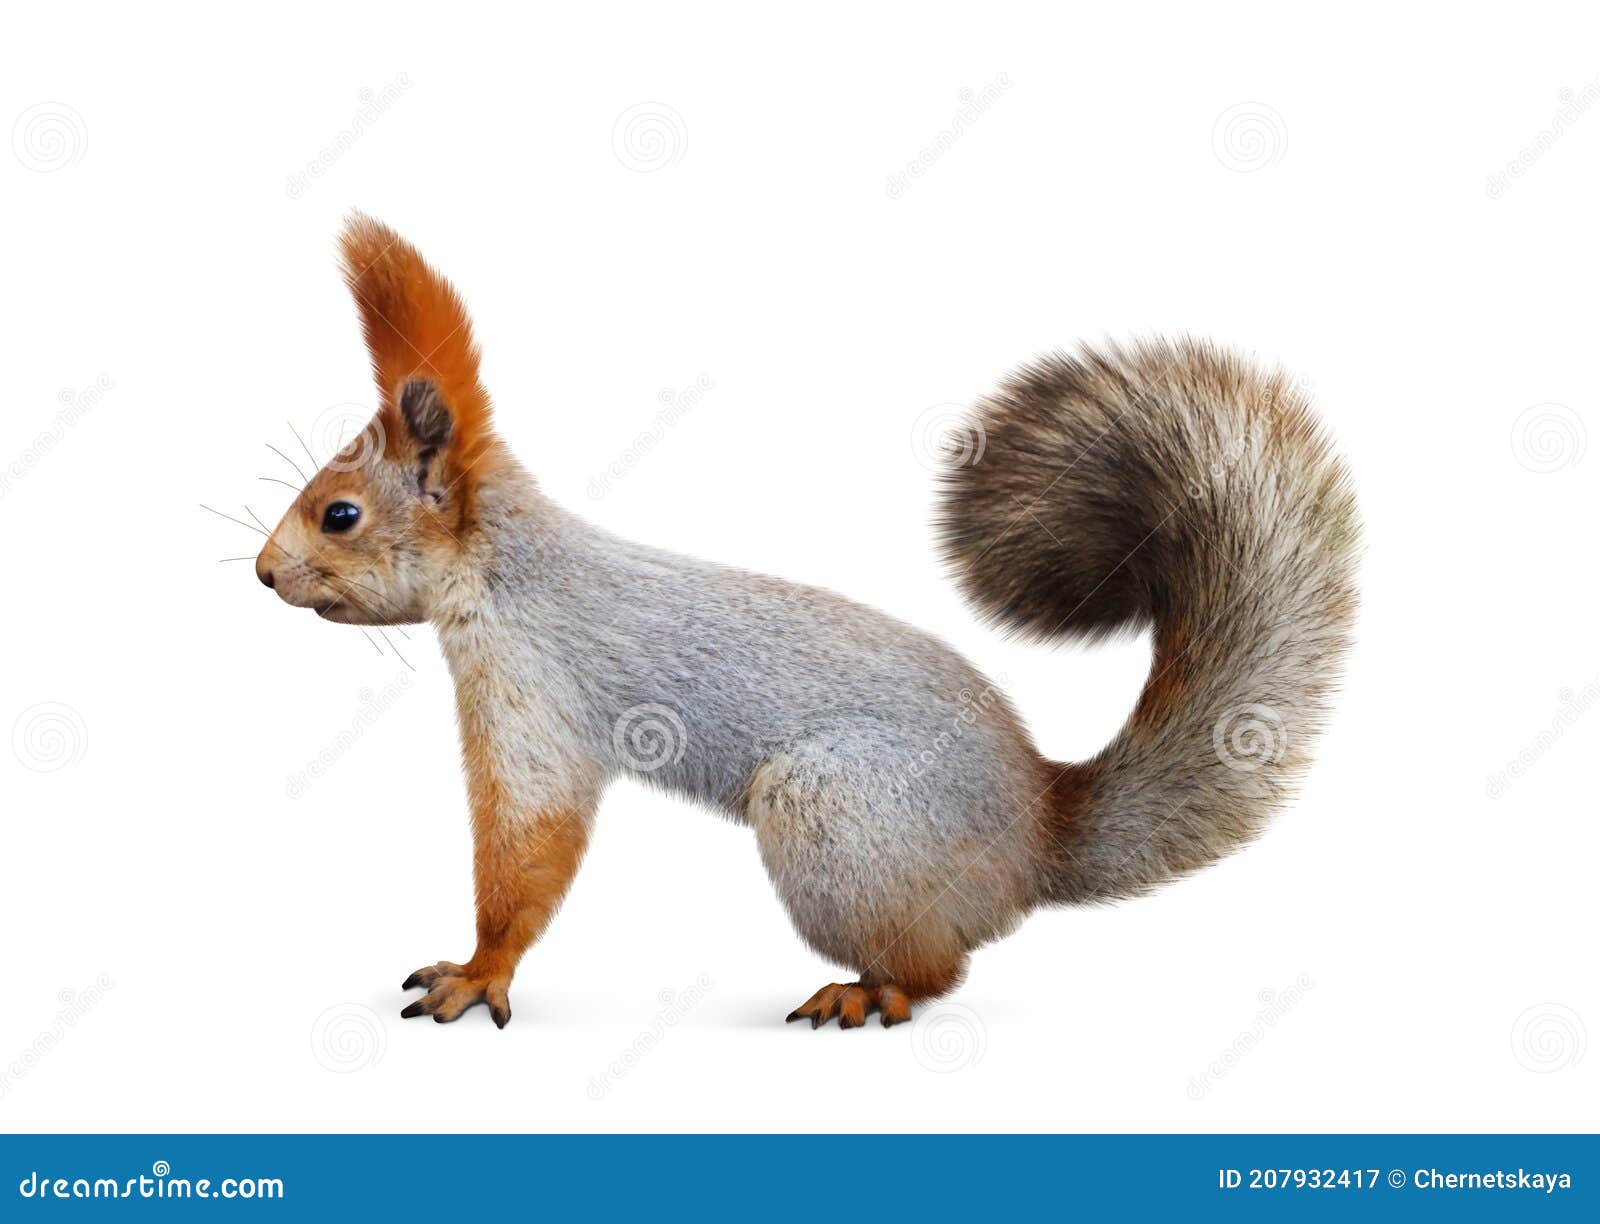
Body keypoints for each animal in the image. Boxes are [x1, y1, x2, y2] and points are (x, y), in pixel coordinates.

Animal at [255, 215, 1359, 1029]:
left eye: (340, 514)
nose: (263, 574)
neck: (506, 567)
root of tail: (1039, 835)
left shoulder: (532, 690)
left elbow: (526, 850)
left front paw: (479, 971)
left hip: (834, 817)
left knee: (939, 972)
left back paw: (869, 992)